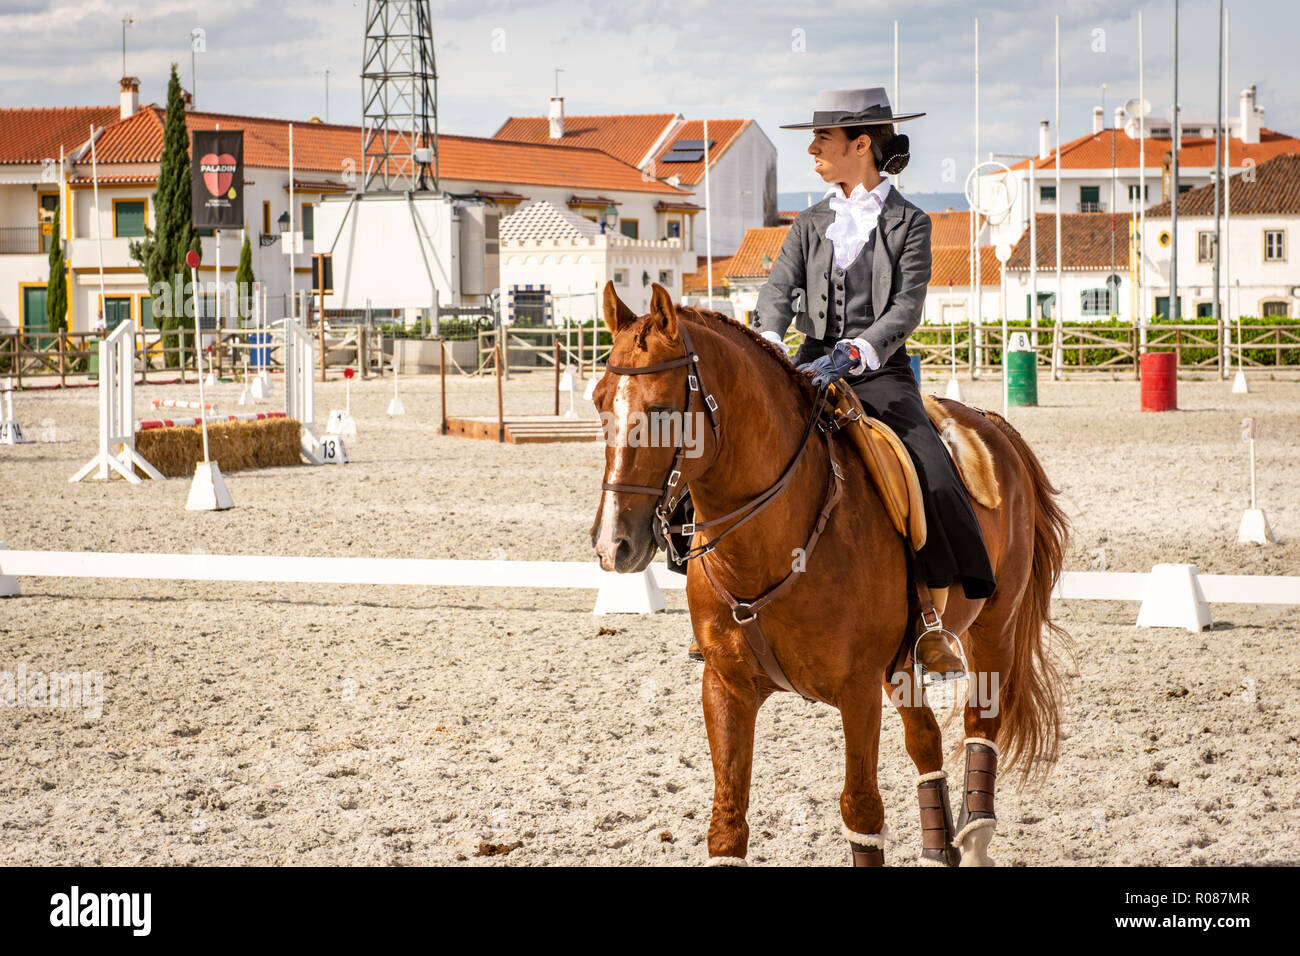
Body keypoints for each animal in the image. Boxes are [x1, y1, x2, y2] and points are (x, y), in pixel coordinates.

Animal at [590, 281, 1070, 866]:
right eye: (598, 402)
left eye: (661, 411)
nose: (614, 544)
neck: (771, 543)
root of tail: (991, 423)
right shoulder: (725, 687)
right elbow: (727, 825)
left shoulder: (857, 691)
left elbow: (861, 810)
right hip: (904, 666)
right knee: (926, 740)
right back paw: (939, 848)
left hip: (993, 630)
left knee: (982, 726)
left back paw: (974, 840)